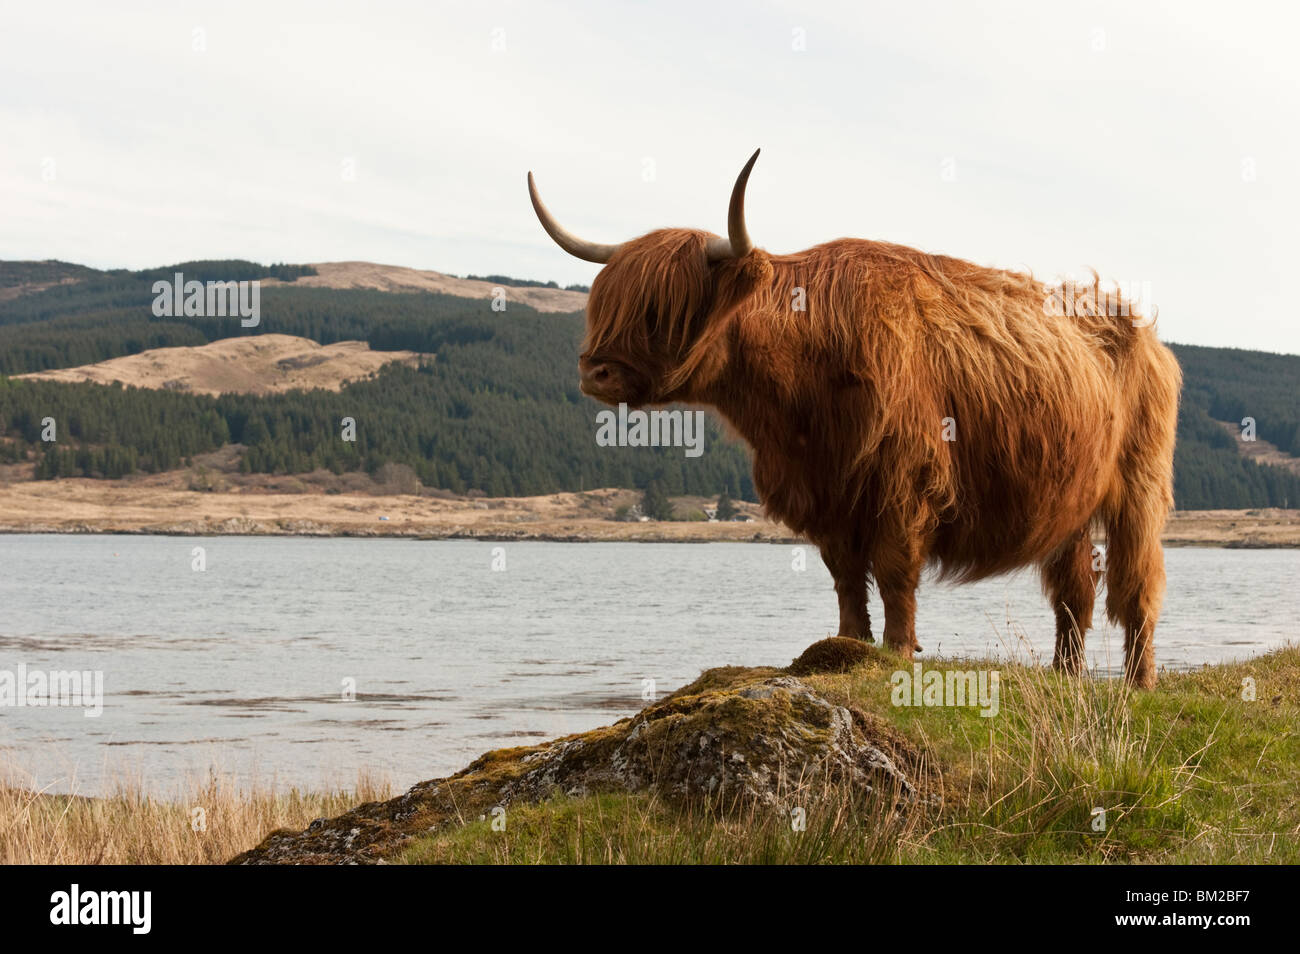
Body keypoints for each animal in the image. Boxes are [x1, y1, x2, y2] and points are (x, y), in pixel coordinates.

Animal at [527, 150, 1181, 687]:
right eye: (604, 303)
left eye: (663, 308)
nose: (596, 372)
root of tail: (1135, 323)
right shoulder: (823, 490)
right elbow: (845, 575)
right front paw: (847, 644)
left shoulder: (904, 479)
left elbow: (893, 570)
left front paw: (896, 651)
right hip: (1070, 498)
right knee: (1074, 591)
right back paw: (1065, 675)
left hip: (1138, 488)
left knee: (1137, 585)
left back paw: (1138, 682)